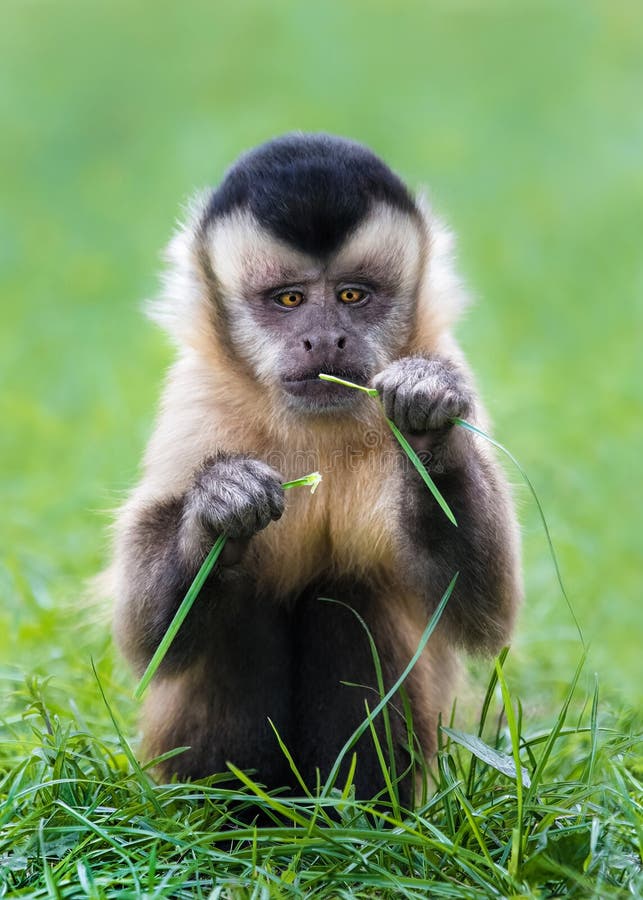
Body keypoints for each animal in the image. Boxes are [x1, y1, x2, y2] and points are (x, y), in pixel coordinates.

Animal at [108, 133, 522, 806]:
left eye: (352, 295)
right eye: (290, 299)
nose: (325, 341)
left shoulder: (448, 356)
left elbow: (482, 613)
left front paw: (426, 428)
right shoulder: (197, 399)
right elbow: (149, 647)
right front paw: (216, 509)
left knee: (348, 593)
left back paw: (357, 813)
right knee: (244, 603)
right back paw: (232, 815)